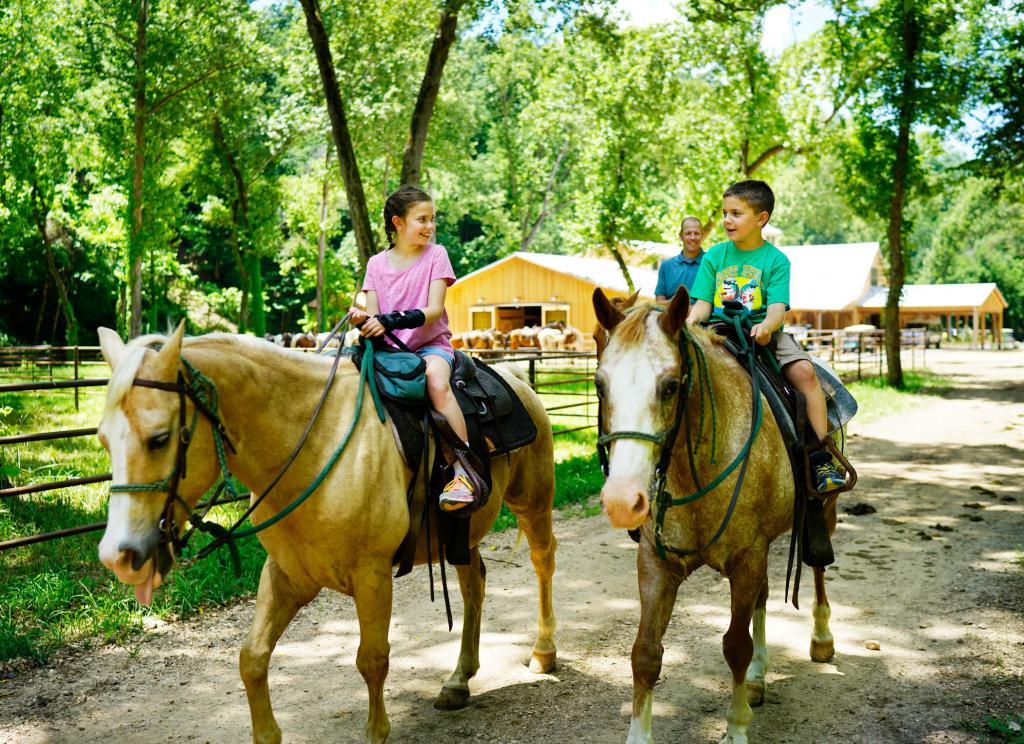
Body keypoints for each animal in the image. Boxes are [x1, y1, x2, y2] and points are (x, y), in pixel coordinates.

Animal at [95, 329, 557, 744]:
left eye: (159, 438)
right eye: (103, 439)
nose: (118, 556)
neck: (315, 446)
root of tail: (516, 379)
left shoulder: (372, 575)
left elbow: (373, 659)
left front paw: (376, 732)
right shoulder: (286, 575)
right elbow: (252, 657)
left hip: (533, 504)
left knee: (543, 562)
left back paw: (543, 653)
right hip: (461, 535)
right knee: (473, 584)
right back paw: (459, 680)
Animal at [593, 288, 831, 744]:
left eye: (670, 386)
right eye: (600, 384)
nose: (622, 500)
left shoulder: (747, 558)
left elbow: (735, 646)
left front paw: (736, 728)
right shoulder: (656, 563)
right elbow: (645, 653)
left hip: (823, 514)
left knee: (817, 571)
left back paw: (822, 639)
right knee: (763, 599)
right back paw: (757, 677)